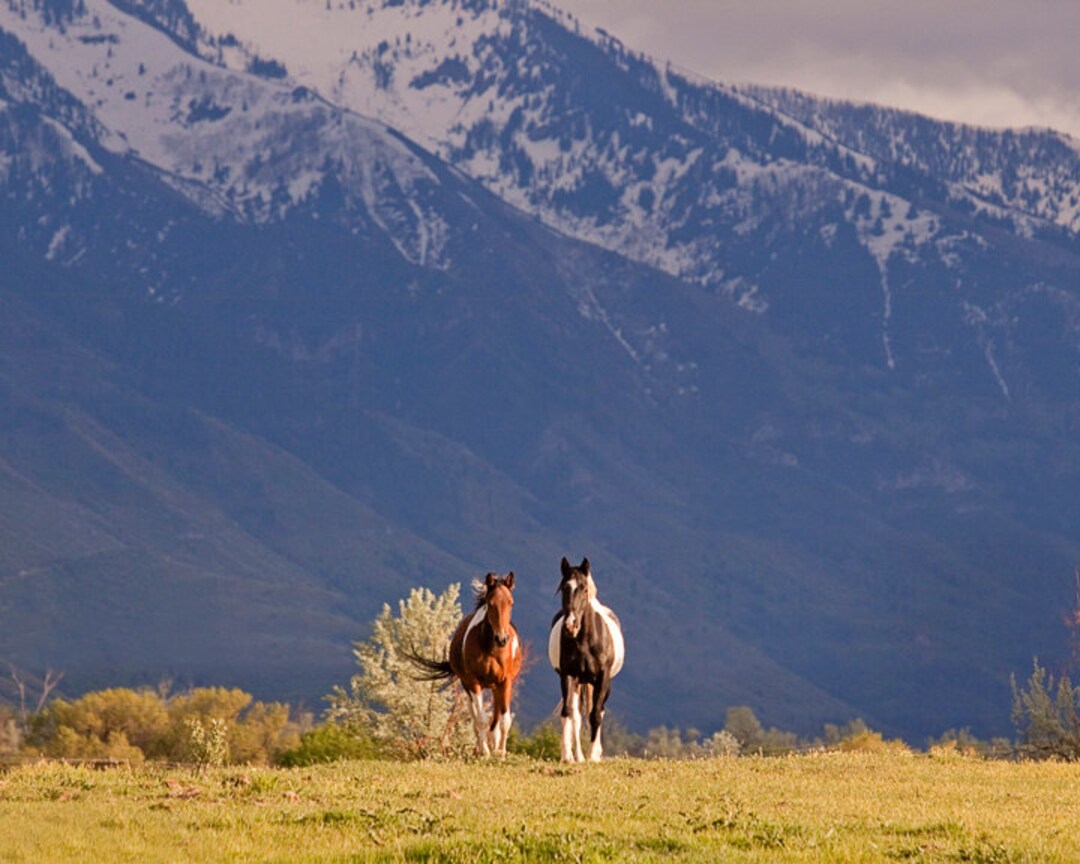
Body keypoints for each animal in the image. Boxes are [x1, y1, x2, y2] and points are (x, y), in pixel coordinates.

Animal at [406, 572, 523, 757]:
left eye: (510, 602)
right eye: (490, 603)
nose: (502, 639)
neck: (491, 648)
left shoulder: (506, 681)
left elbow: (504, 720)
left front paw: (501, 754)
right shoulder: (473, 682)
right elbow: (480, 719)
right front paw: (485, 753)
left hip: (496, 686)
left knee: (496, 719)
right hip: (469, 686)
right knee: (476, 717)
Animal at [548, 556, 625, 762]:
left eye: (583, 588)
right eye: (564, 588)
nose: (570, 626)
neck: (584, 641)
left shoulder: (602, 678)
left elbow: (595, 714)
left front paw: (593, 756)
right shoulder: (568, 675)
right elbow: (568, 713)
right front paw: (567, 756)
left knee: (599, 710)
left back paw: (593, 753)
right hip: (579, 682)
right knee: (576, 716)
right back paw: (578, 756)